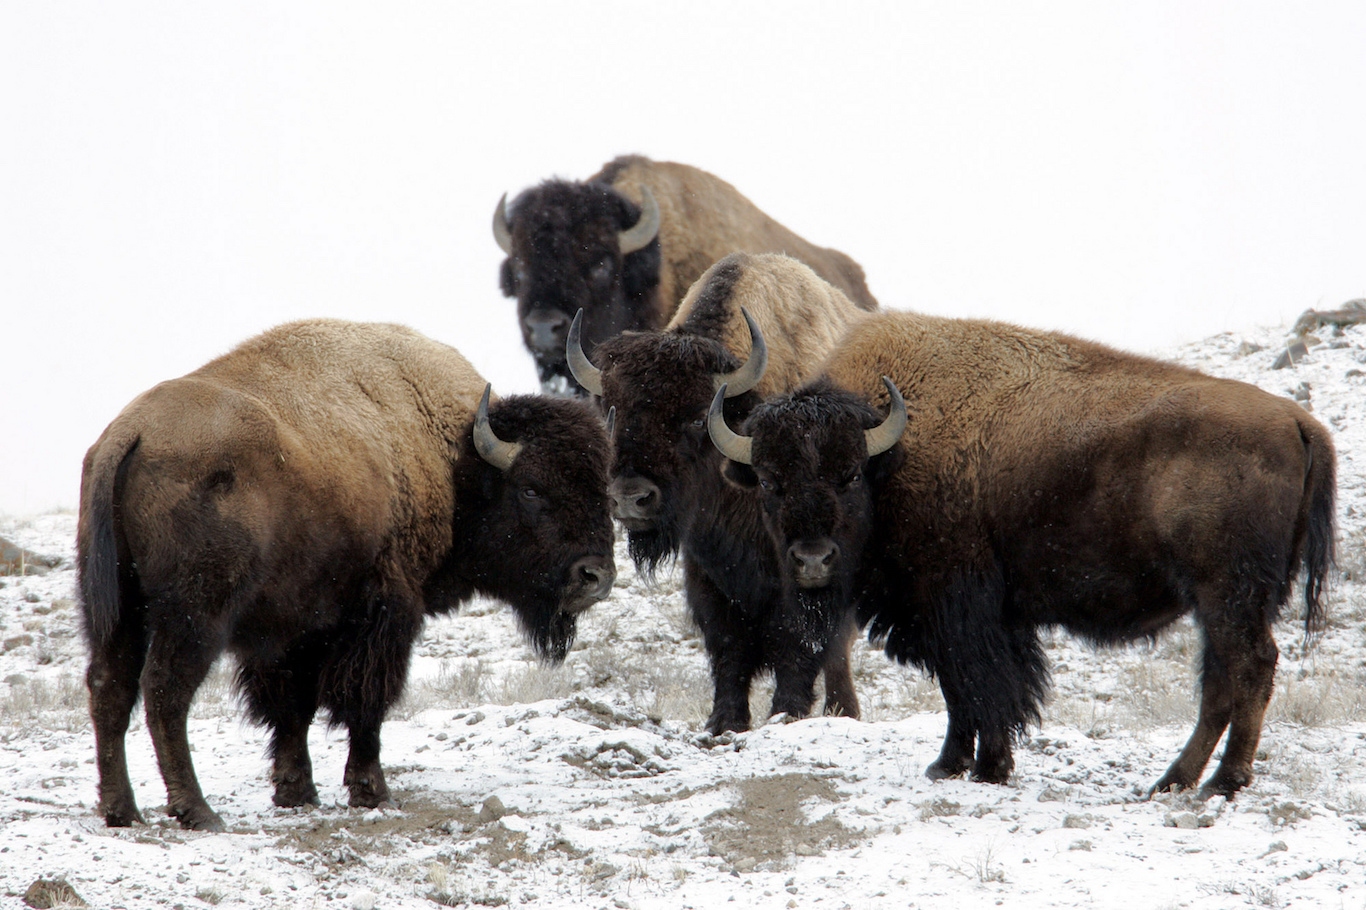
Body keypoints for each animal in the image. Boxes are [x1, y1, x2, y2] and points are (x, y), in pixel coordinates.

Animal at [77, 319, 615, 831]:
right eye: (531, 489)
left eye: (604, 488)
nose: (595, 577)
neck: (455, 458)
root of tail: (132, 433)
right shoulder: (384, 614)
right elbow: (366, 702)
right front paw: (371, 791)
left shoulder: (291, 630)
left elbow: (292, 709)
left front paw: (296, 793)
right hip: (193, 617)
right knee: (165, 693)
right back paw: (198, 811)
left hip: (116, 610)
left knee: (110, 688)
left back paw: (122, 810)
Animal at [570, 252, 870, 733]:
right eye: (613, 411)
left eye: (695, 418)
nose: (630, 498)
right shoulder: (707, 571)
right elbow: (727, 646)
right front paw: (724, 722)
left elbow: (797, 641)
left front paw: (786, 713)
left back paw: (844, 712)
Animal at [710, 311, 1336, 797]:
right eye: (769, 481)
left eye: (849, 476)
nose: (813, 560)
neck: (893, 452)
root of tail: (1298, 421)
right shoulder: (978, 616)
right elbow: (975, 689)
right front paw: (958, 765)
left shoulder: (955, 608)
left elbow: (977, 685)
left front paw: (977, 767)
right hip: (1223, 603)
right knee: (1222, 681)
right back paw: (1174, 782)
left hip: (1228, 595)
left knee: (1248, 668)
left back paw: (1219, 783)